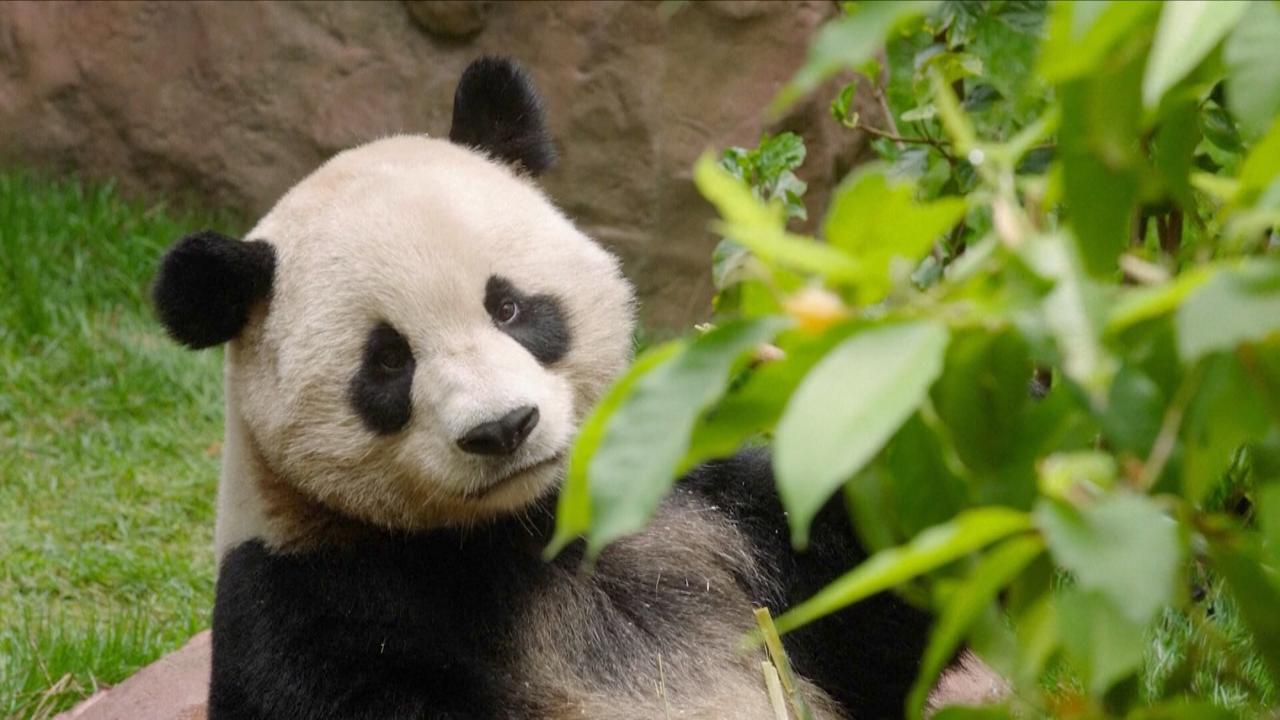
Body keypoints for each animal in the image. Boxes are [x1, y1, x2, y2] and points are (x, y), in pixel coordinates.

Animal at [151, 57, 971, 720]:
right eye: (387, 362)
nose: (503, 428)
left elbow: (887, 593)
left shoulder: (702, 505)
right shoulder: (310, 595)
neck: (526, 526)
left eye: (509, 307)